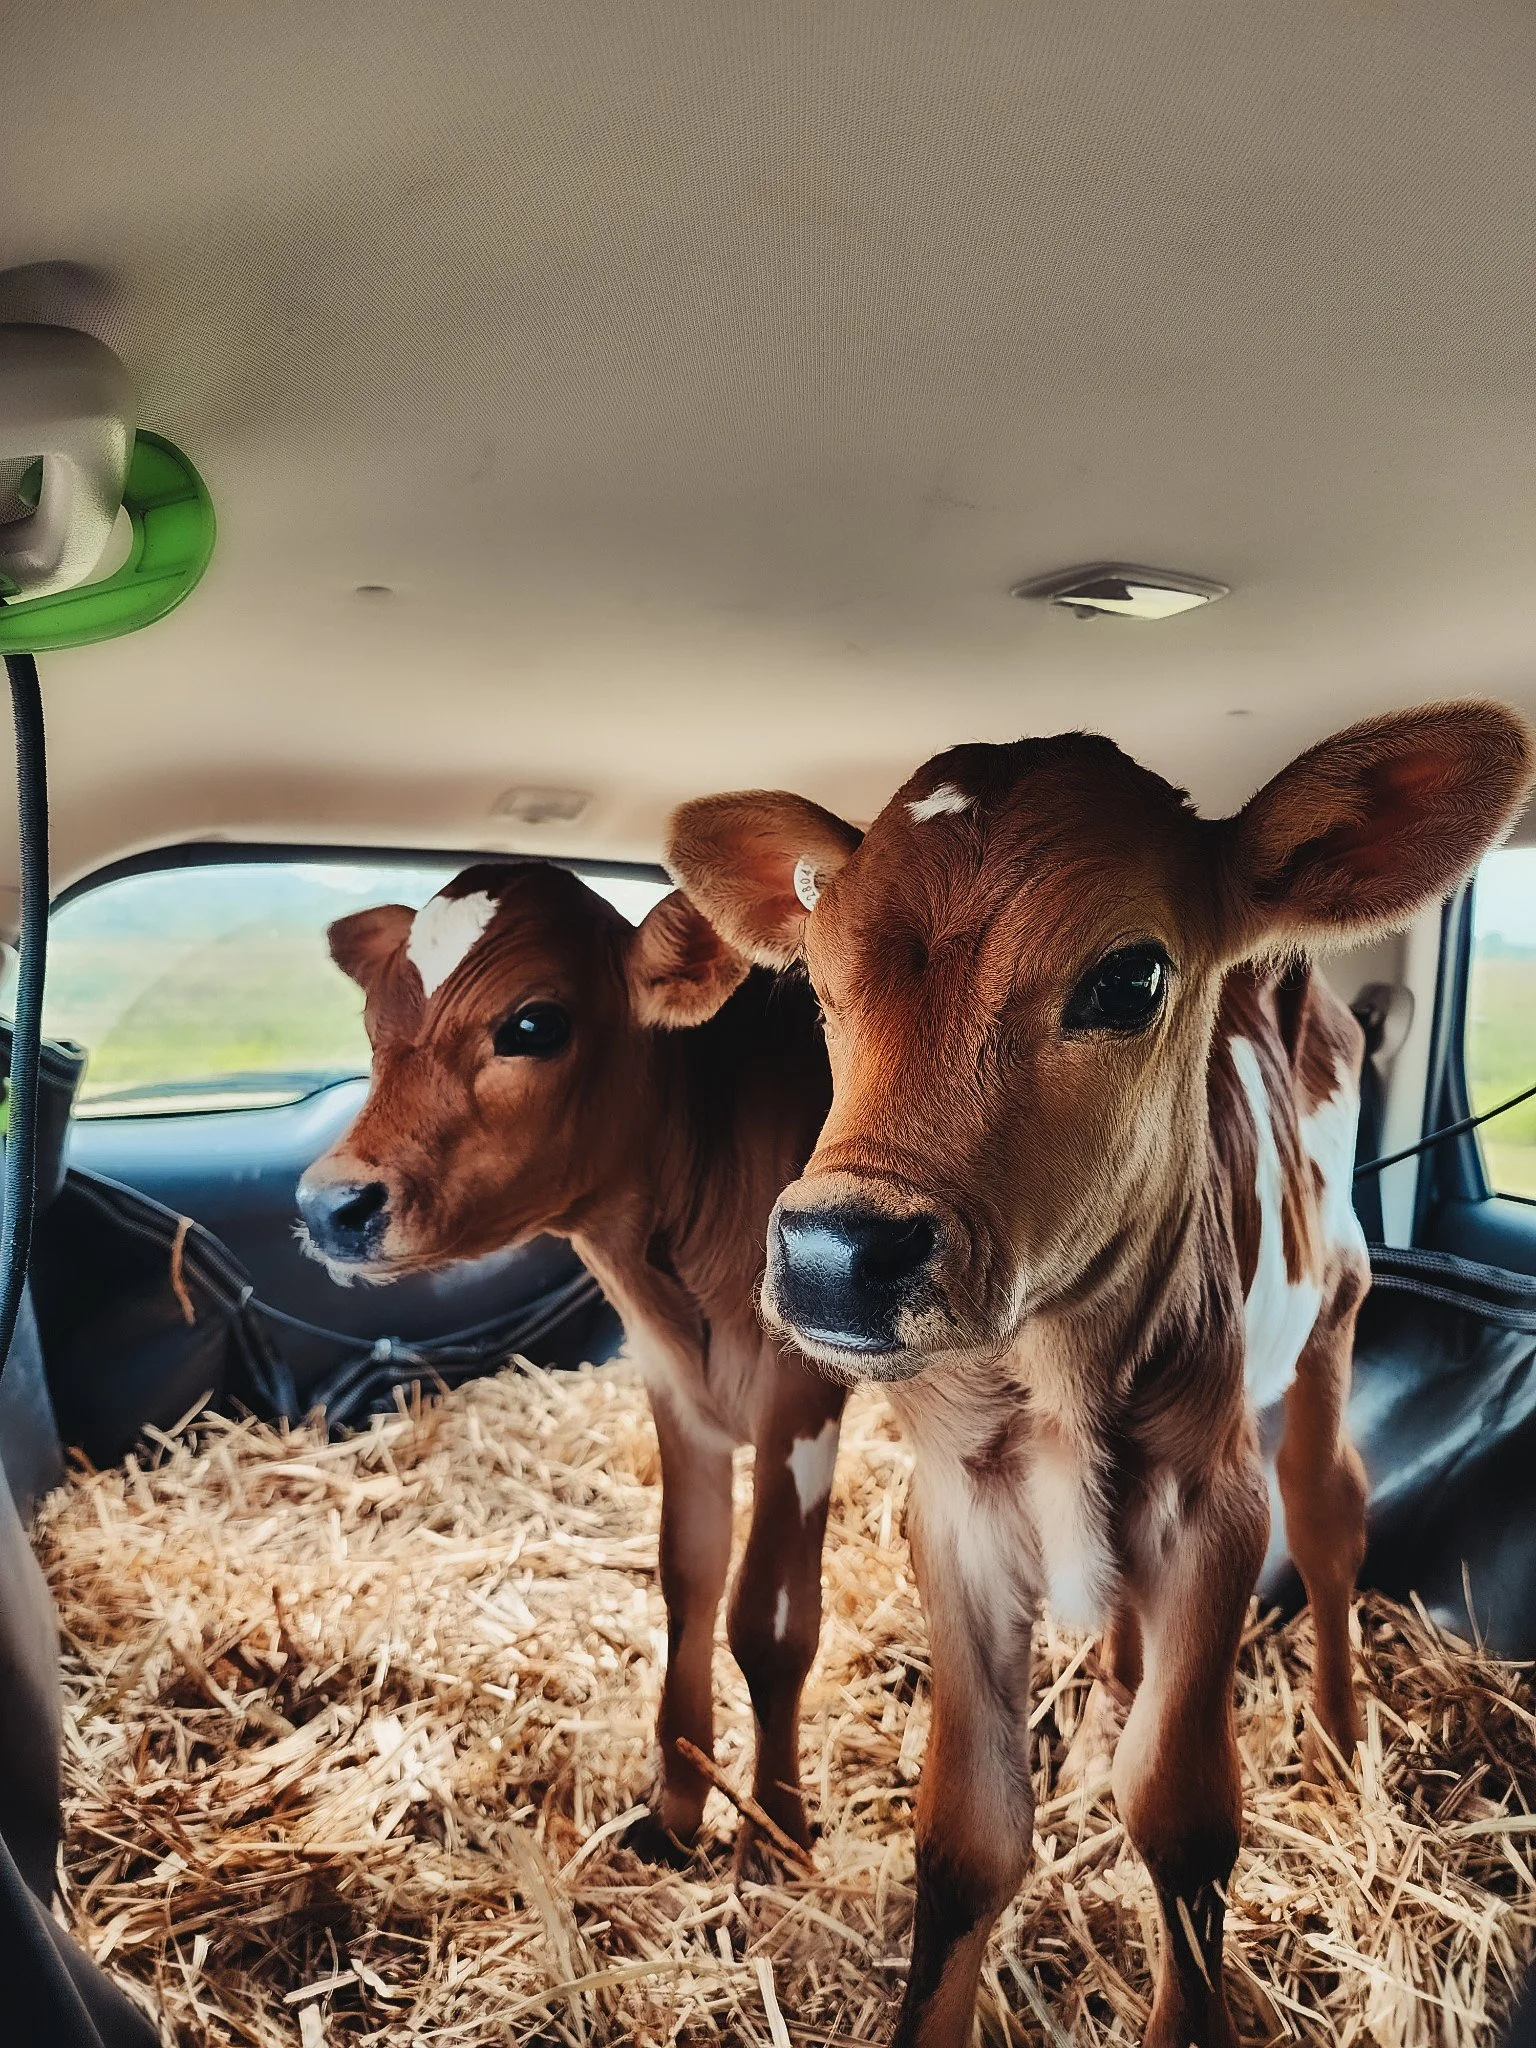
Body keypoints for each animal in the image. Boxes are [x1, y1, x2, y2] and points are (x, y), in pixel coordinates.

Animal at [294, 862, 844, 1868]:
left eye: (533, 1025)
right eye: (372, 1025)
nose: (330, 1204)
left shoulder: (803, 1395)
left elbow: (772, 1622)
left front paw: (777, 1838)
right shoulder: (674, 1382)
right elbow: (688, 1579)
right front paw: (677, 1809)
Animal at [666, 703, 1535, 2048]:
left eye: (1130, 979)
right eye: (816, 975)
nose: (831, 1255)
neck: (1054, 1361)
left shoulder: (1216, 1500)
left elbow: (1181, 1815)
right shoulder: (955, 1509)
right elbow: (968, 1833)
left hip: (1335, 1300)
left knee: (1331, 1513)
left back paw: (1340, 1747)